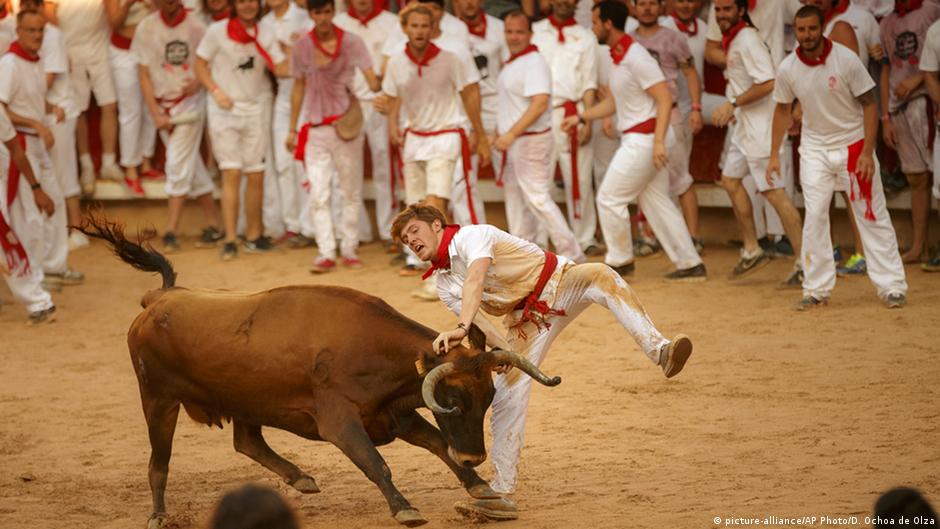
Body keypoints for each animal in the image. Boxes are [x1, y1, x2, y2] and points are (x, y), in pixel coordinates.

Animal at [79, 217, 561, 528]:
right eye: (455, 401)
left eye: (489, 399)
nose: (475, 457)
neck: (371, 349)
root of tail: (159, 299)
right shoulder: (340, 421)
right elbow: (376, 462)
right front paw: (405, 507)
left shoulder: (394, 414)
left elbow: (437, 444)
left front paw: (481, 488)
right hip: (158, 399)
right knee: (159, 462)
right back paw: (159, 515)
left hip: (246, 400)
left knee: (246, 441)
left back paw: (300, 478)